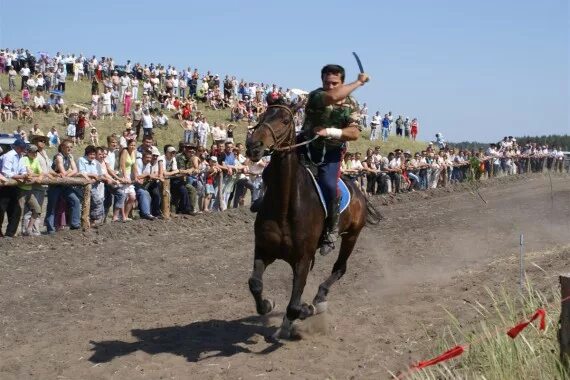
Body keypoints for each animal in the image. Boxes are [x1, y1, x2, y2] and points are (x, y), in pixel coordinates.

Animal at [243, 101, 378, 338]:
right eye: (261, 116)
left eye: (285, 121)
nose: (253, 145)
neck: (285, 207)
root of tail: (359, 191)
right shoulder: (263, 250)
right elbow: (255, 284)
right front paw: (268, 305)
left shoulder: (303, 259)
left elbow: (295, 306)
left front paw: (308, 309)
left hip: (352, 235)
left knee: (340, 268)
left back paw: (319, 299)